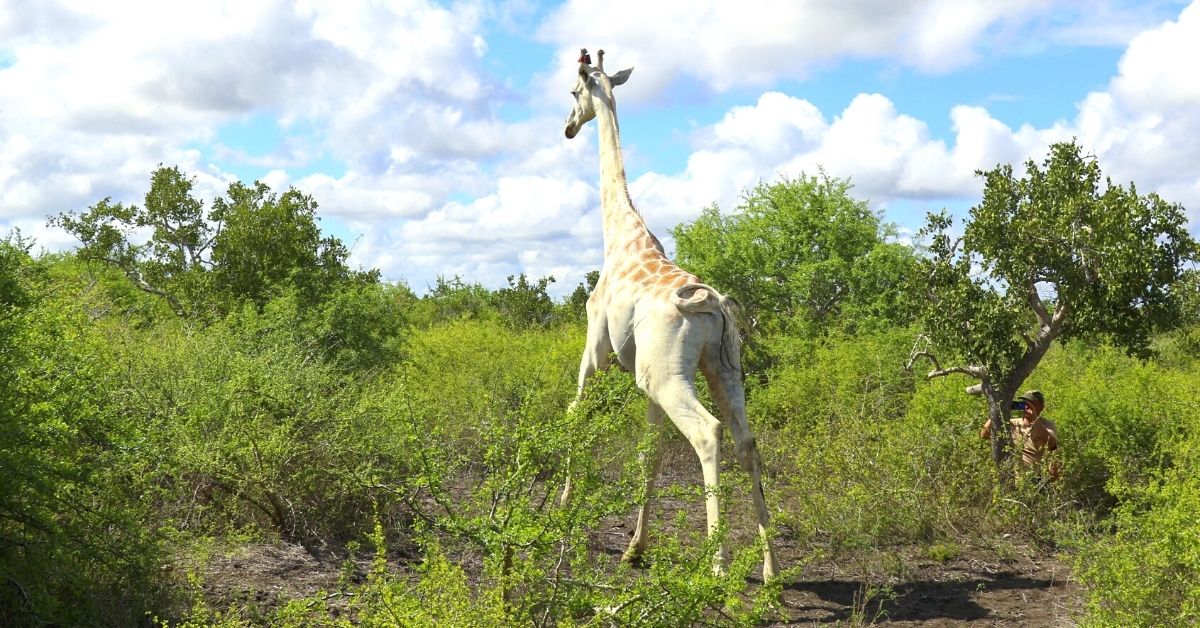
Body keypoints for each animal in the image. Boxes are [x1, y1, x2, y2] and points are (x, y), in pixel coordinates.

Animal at [561, 48, 779, 581]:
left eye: (574, 92)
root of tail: (713, 305)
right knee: (747, 441)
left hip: (669, 375)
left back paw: (718, 567)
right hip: (720, 367)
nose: (568, 127)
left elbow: (575, 413)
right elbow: (650, 454)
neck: (619, 235)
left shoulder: (596, 352)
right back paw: (770, 571)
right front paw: (635, 548)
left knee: (708, 433)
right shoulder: (643, 381)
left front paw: (562, 507)